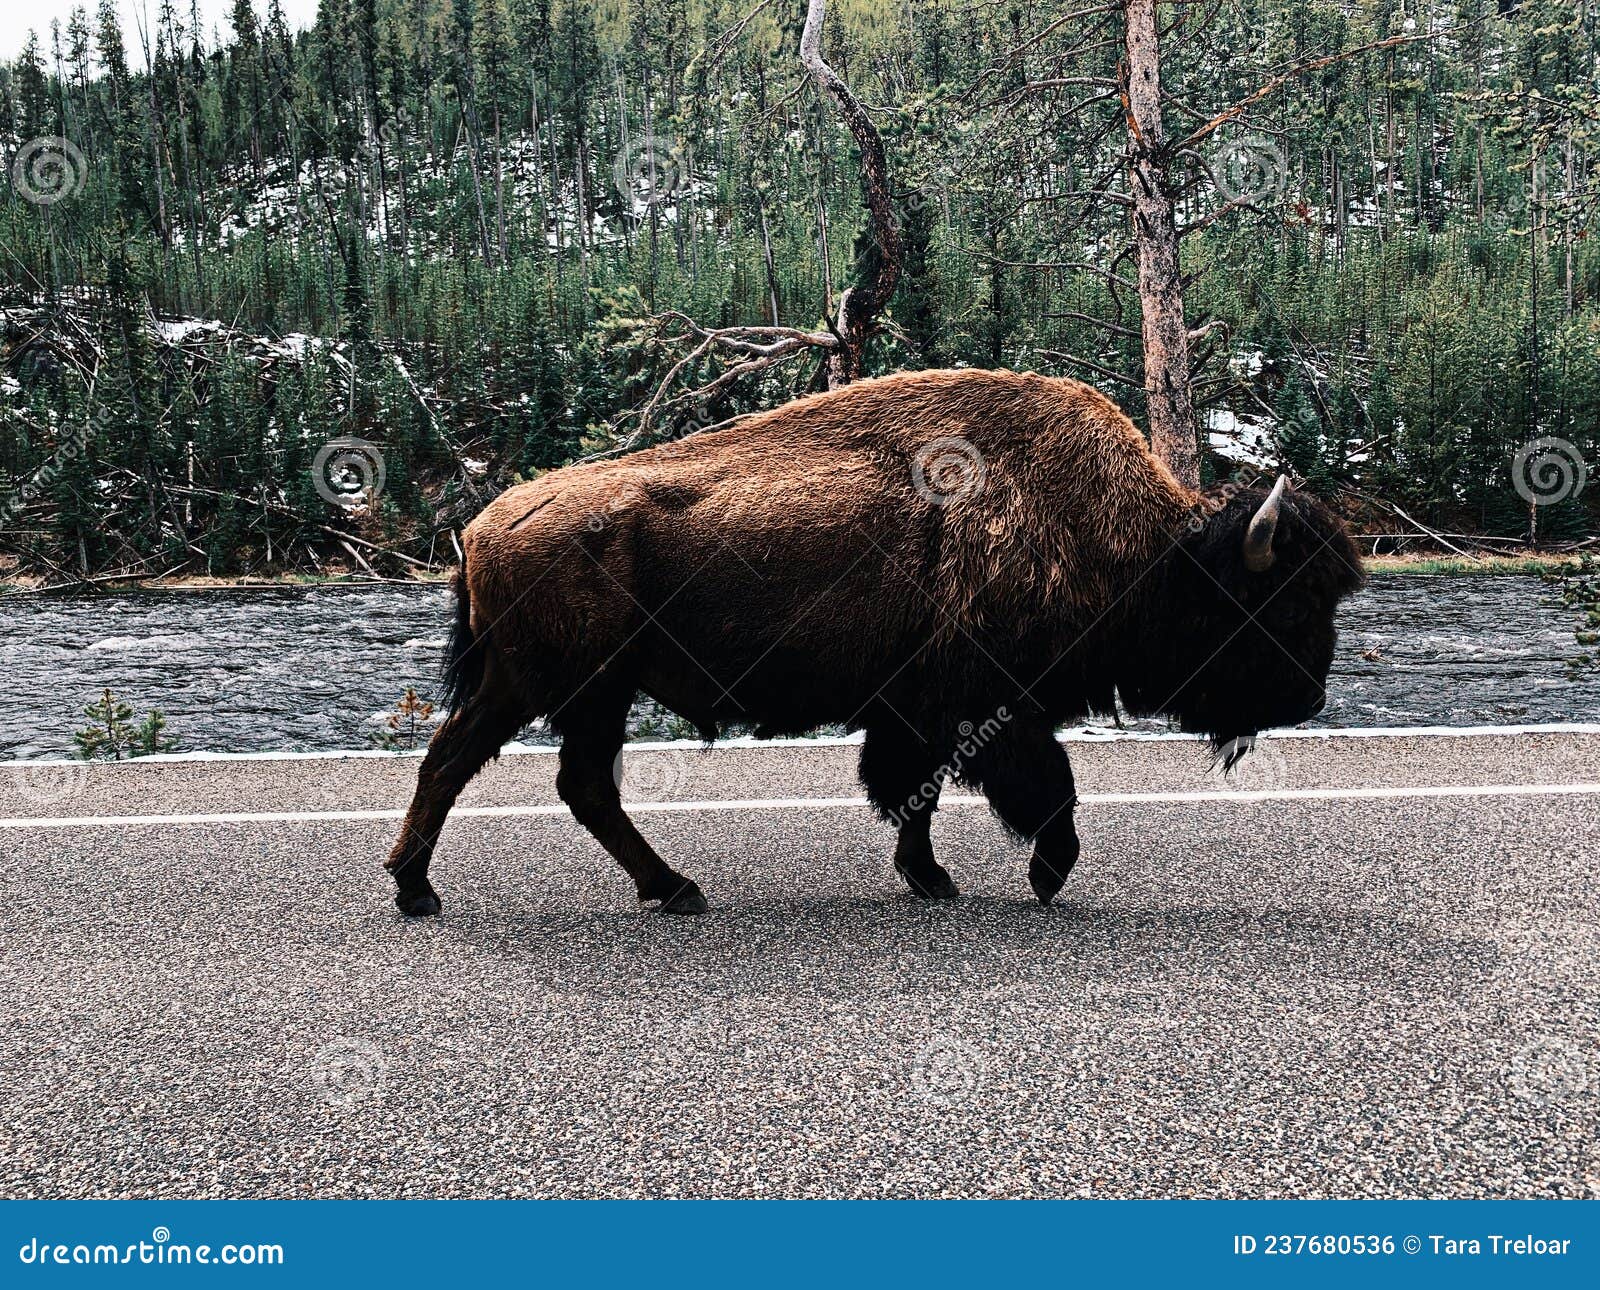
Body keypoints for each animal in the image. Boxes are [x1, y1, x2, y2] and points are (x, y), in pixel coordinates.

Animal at [386, 368, 1364, 916]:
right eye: (1277, 604)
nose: (1310, 697)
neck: (1152, 552)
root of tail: (481, 525)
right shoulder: (990, 708)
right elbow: (1045, 790)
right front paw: (1046, 875)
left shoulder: (918, 710)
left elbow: (912, 792)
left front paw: (929, 877)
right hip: (566, 686)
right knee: (515, 772)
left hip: (564, 690)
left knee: (515, 773)